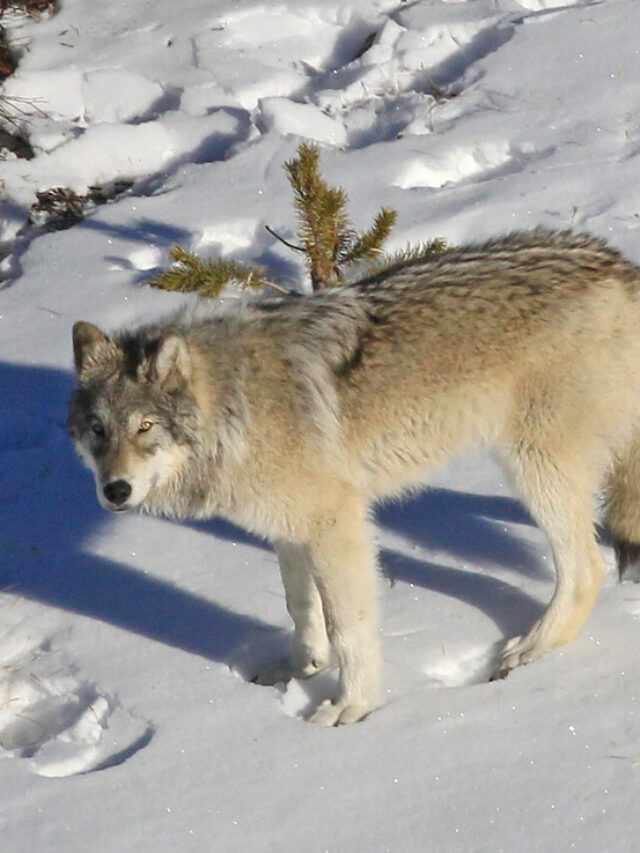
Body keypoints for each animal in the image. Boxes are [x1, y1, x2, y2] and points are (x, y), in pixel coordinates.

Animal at [68, 229, 640, 725]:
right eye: (98, 430)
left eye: (145, 427)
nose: (114, 491)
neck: (237, 405)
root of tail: (617, 265)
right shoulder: (288, 528)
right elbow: (300, 606)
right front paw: (300, 669)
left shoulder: (336, 523)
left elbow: (349, 628)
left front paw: (352, 707)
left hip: (534, 467)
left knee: (586, 568)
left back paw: (533, 648)